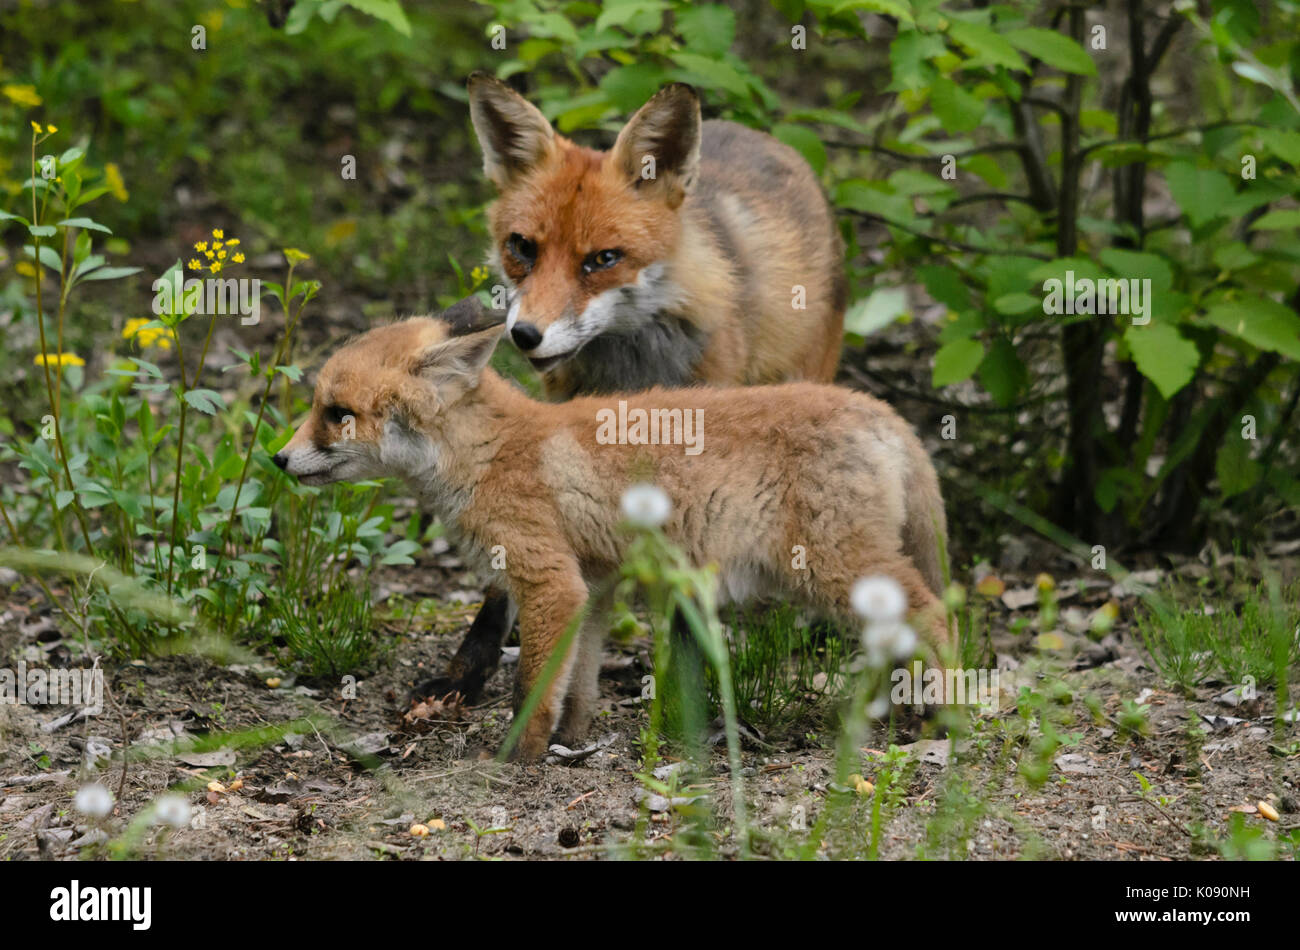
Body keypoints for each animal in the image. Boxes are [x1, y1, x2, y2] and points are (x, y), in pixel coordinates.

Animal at [273, 305, 950, 762]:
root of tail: (880, 410)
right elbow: (580, 682)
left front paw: (519, 756)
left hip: (838, 570)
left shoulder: (549, 582)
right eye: (321, 408)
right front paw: (573, 741)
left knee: (939, 615)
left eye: (337, 415)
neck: (491, 454)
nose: (278, 460)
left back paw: (944, 719)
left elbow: (533, 686)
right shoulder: (592, 587)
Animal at [421, 74, 847, 703]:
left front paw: (684, 692)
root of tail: (765, 136)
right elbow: (506, 578)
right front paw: (465, 673)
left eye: (602, 259)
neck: (630, 369)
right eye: (522, 247)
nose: (524, 335)